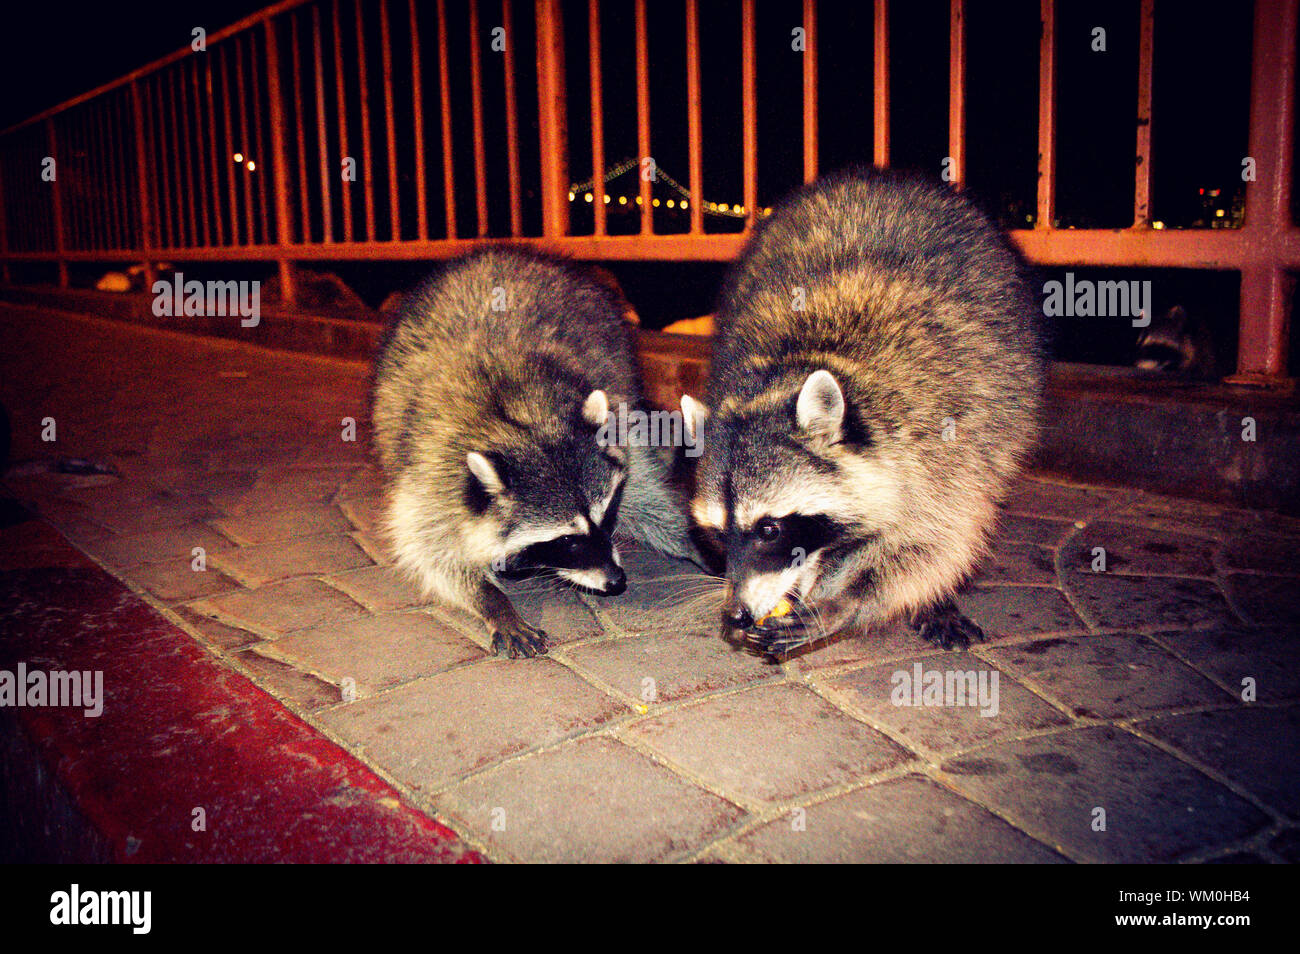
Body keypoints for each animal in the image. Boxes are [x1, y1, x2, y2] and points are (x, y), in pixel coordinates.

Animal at [371, 248, 696, 658]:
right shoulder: (433, 475)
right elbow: (434, 553)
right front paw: (492, 600)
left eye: (607, 518)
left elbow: (648, 497)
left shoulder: (619, 435)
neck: (521, 421)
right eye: (567, 541)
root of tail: (502, 253)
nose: (617, 582)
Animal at [680, 168, 1045, 654]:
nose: (736, 612)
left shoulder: (947, 436)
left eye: (770, 530)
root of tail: (882, 176)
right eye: (719, 534)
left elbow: (938, 538)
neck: (793, 366)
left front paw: (850, 600)